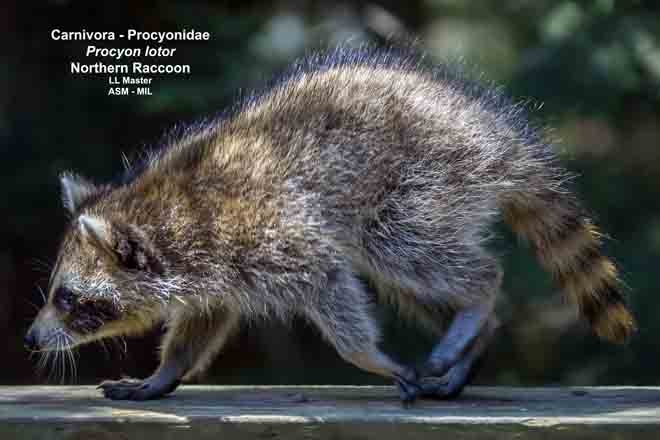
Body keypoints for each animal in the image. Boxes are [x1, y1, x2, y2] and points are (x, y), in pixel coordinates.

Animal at [26, 46, 636, 402]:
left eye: (68, 299)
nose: (31, 338)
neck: (161, 211)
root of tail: (497, 138)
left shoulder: (270, 234)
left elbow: (330, 288)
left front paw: (367, 356)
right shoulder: (216, 268)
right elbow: (203, 318)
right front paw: (165, 372)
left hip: (426, 177)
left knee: (415, 253)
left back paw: (479, 300)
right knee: (407, 275)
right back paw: (475, 335)